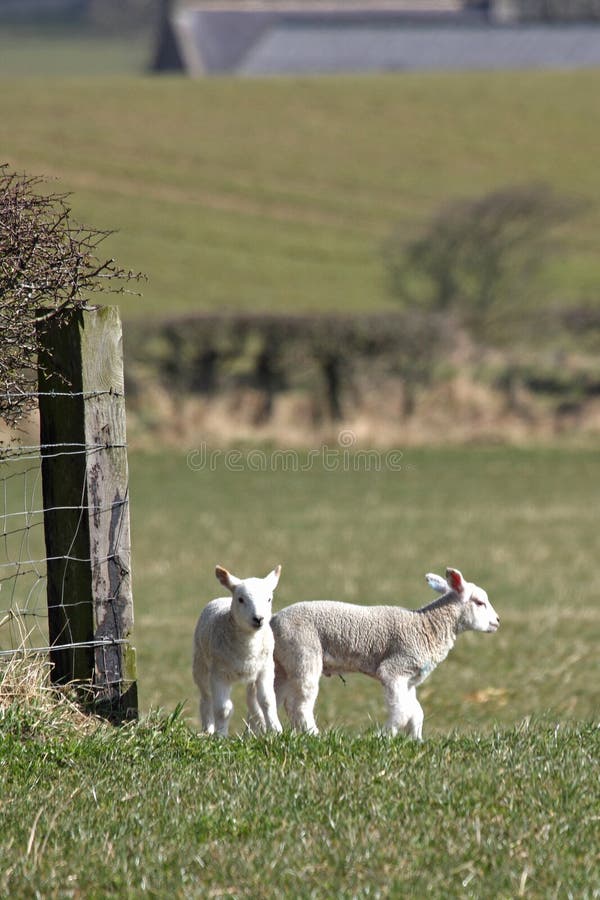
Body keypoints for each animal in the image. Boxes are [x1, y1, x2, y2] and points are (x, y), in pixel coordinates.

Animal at [192, 564, 283, 736]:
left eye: (269, 599)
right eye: (241, 599)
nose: (258, 619)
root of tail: (222, 598)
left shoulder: (266, 669)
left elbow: (267, 701)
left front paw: (276, 730)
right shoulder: (219, 673)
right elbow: (223, 710)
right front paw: (221, 736)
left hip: (252, 677)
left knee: (252, 702)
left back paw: (257, 729)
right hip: (200, 664)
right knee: (206, 697)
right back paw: (208, 729)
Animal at [271, 567, 499, 739]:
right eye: (480, 602)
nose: (497, 621)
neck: (428, 626)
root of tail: (274, 621)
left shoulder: (410, 679)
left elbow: (416, 712)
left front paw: (416, 740)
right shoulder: (394, 669)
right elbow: (401, 712)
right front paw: (384, 736)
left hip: (282, 663)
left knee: (275, 697)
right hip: (304, 653)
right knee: (299, 704)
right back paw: (314, 736)